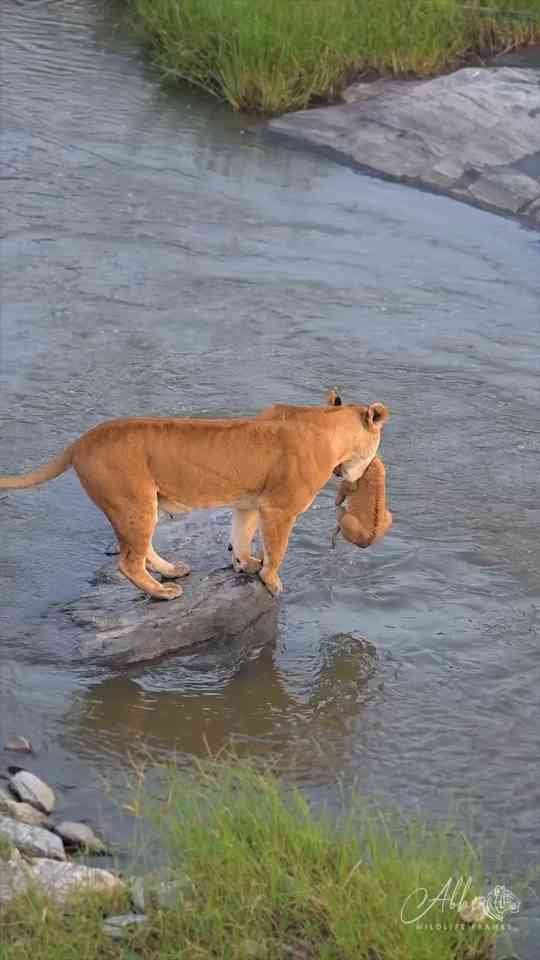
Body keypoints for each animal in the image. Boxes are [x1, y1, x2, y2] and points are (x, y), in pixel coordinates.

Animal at [0, 396, 389, 600]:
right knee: (128, 561)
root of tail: (81, 441)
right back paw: (163, 591)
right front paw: (272, 580)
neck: (329, 428)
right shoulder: (279, 508)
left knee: (140, 550)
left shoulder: (249, 502)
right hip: (133, 502)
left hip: (141, 506)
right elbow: (277, 549)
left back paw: (172, 571)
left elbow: (241, 536)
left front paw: (245, 565)